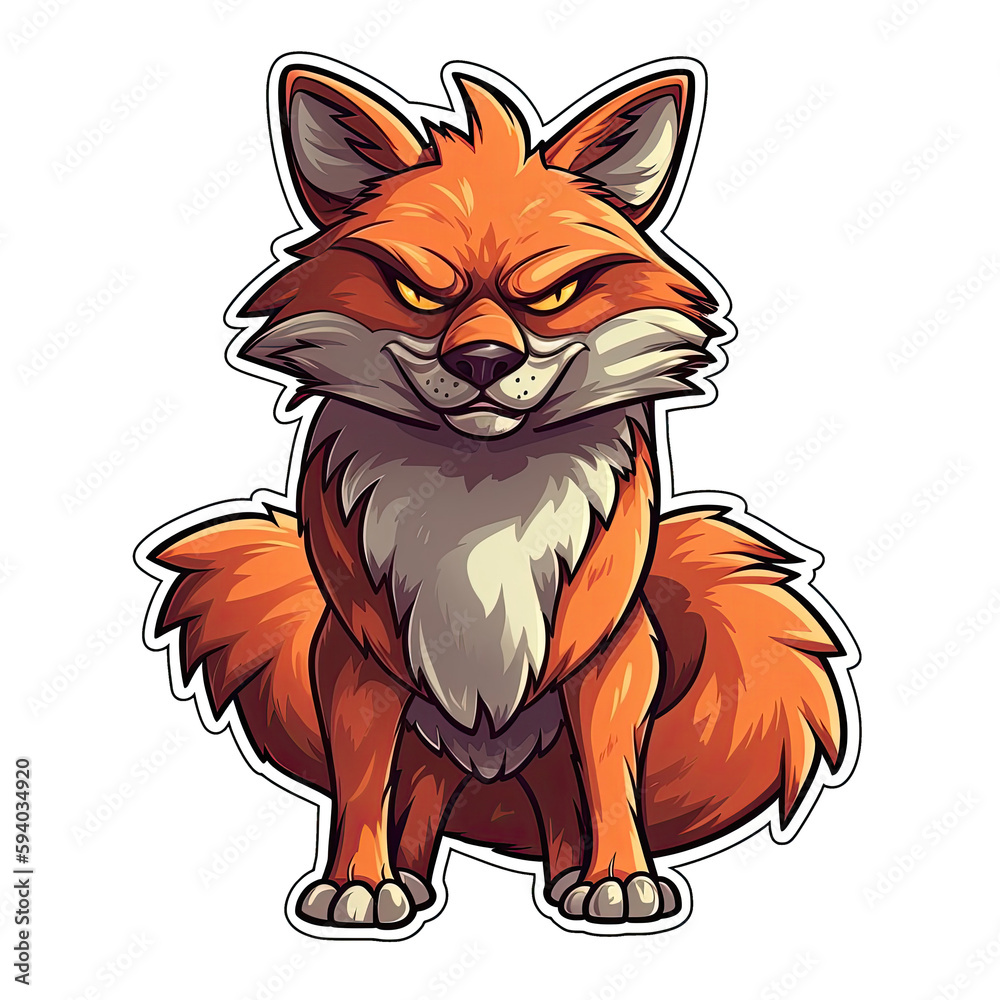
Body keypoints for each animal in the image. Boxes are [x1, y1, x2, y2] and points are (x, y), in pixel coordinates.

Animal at [139, 56, 858, 937]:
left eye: (547, 297)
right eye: (420, 295)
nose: (482, 360)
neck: (478, 509)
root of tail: (486, 773)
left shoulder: (612, 658)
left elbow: (611, 777)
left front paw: (622, 877)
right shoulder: (357, 665)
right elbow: (361, 787)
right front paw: (356, 884)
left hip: (548, 755)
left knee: (563, 816)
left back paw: (572, 879)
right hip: (428, 756)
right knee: (414, 814)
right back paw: (410, 884)